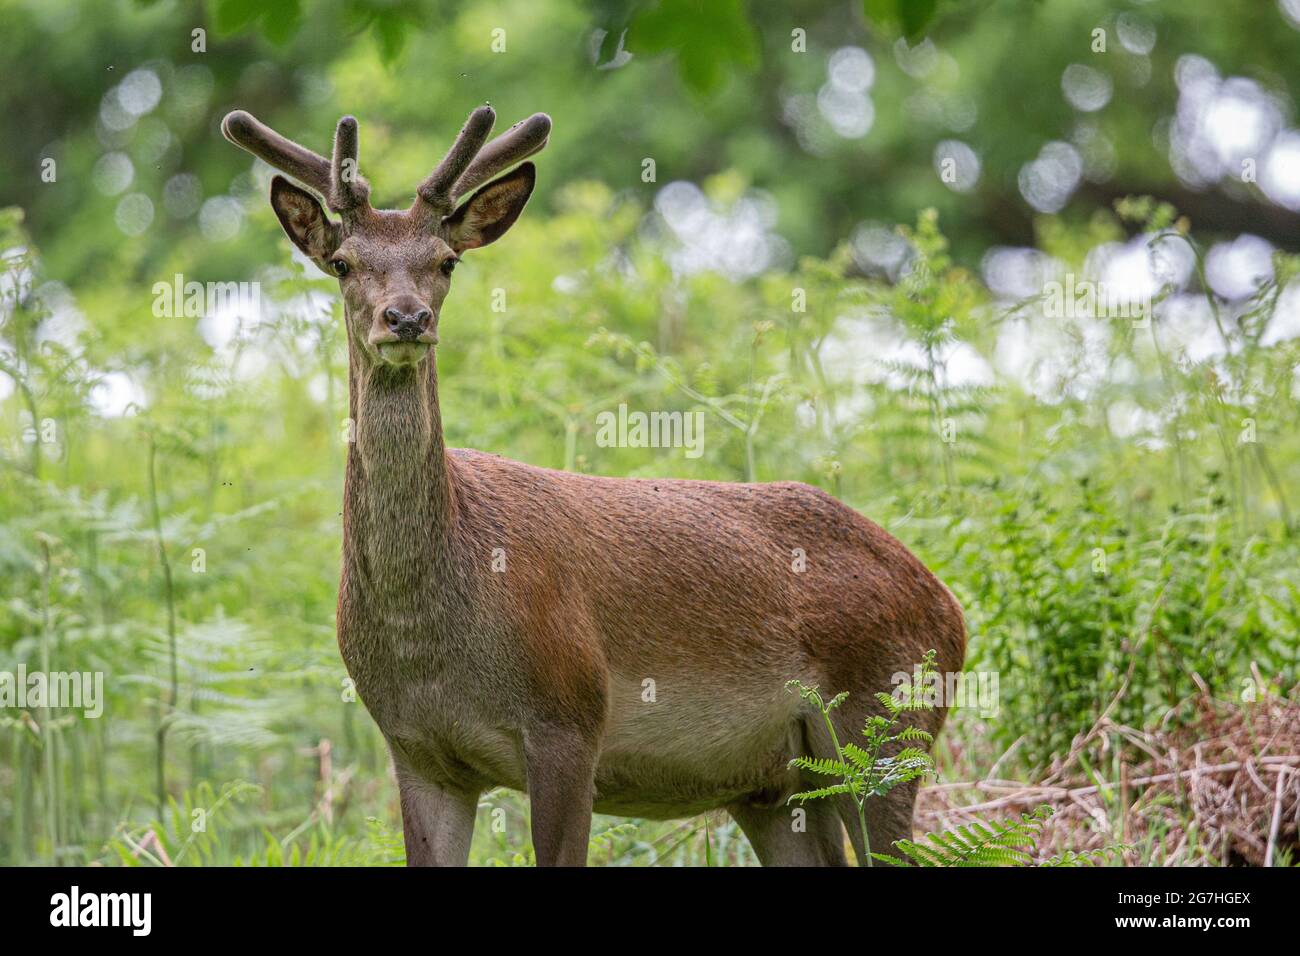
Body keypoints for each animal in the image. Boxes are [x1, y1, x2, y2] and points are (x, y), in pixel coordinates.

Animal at [222, 105, 967, 866]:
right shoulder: (418, 750)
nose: (406, 318)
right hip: (775, 784)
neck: (431, 637)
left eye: (446, 261)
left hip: (887, 723)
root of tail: (950, 608)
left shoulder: (571, 716)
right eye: (343, 263)